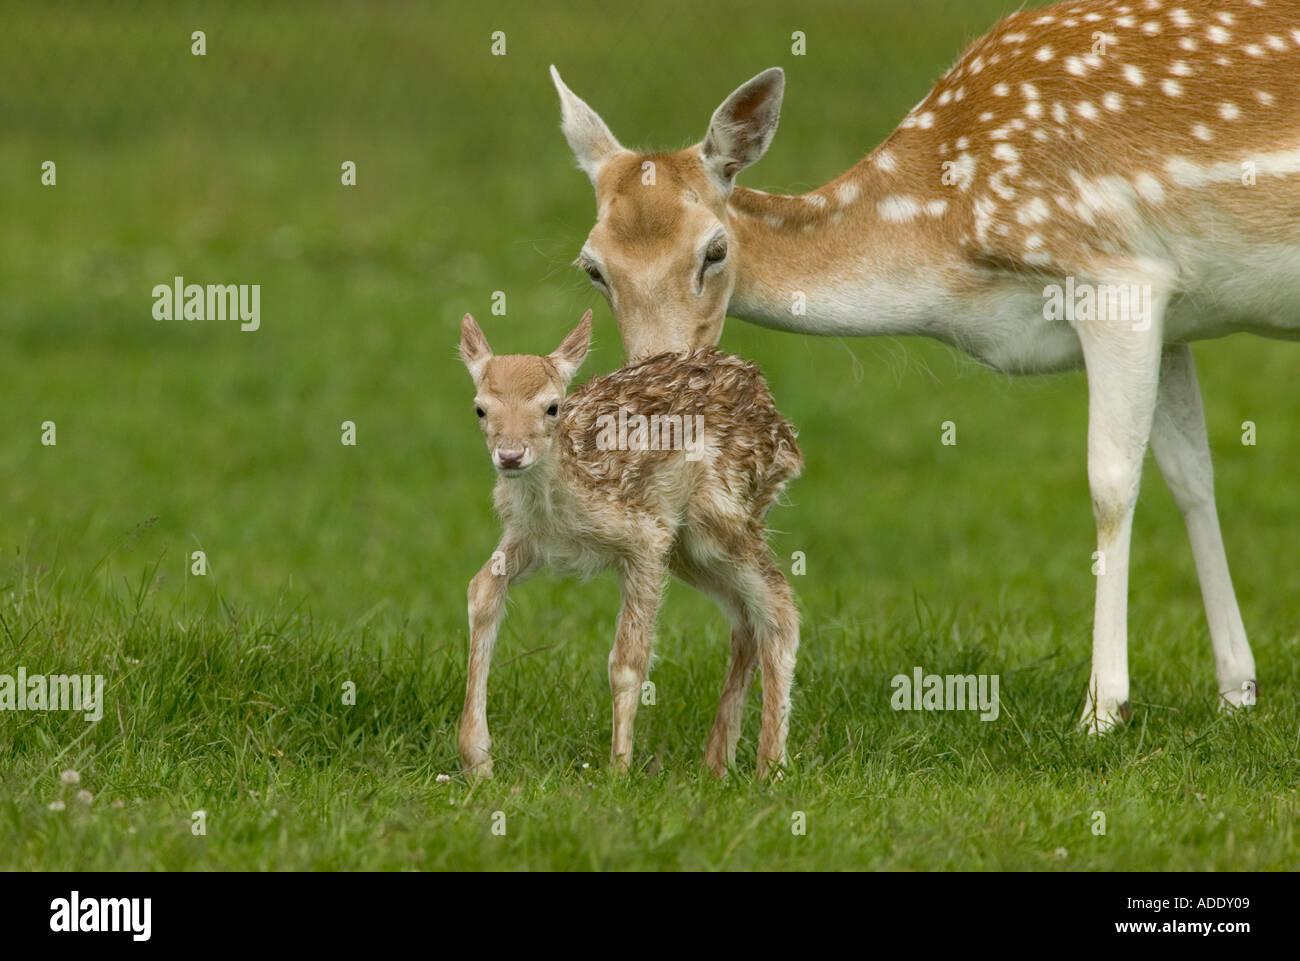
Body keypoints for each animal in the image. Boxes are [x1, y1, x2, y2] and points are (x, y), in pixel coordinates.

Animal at [457, 309, 803, 779]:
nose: (511, 455)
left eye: (552, 406)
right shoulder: (528, 538)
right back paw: (716, 763)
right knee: (746, 618)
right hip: (688, 549)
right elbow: (481, 592)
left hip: (719, 516)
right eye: (480, 408)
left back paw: (771, 767)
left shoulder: (644, 537)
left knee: (780, 605)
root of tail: (782, 429)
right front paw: (477, 761)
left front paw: (619, 769)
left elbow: (627, 660)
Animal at [549, 0, 1300, 734]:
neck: (951, 246)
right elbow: (1191, 475)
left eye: (714, 251)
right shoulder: (1177, 316)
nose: (656, 387)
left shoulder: (1119, 275)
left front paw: (1101, 709)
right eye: (593, 268)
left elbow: (1110, 483)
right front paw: (1237, 689)